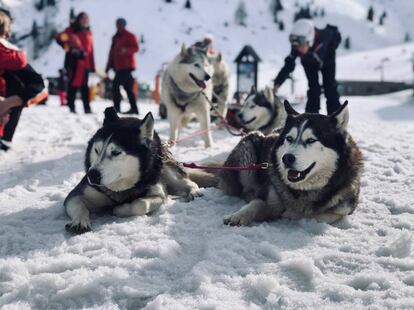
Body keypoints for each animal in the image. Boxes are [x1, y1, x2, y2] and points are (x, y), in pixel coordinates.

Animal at [64, 107, 201, 232]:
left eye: (116, 152)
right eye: (96, 150)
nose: (91, 175)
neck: (120, 189)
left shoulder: (159, 194)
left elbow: (141, 204)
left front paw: (118, 209)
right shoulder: (77, 194)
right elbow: (78, 205)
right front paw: (80, 220)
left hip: (167, 171)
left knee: (188, 182)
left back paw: (194, 192)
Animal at [194, 100, 362, 224]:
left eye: (311, 140)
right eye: (289, 138)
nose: (286, 158)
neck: (303, 191)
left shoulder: (343, 210)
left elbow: (321, 215)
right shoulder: (268, 193)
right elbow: (257, 203)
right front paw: (239, 215)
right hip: (250, 146)